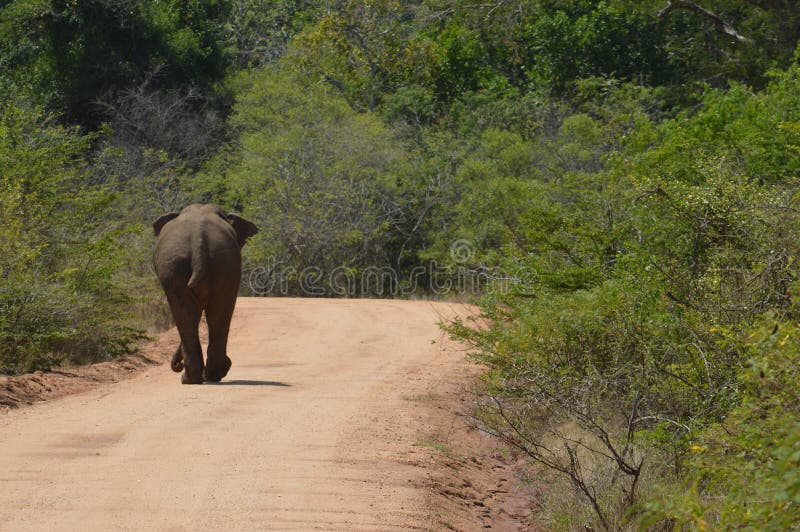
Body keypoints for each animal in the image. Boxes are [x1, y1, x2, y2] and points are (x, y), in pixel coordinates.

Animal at [153, 204, 259, 384]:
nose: (178, 364)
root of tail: (198, 243)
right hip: (202, 264)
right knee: (209, 312)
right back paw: (205, 376)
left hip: (201, 264)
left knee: (205, 313)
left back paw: (195, 378)